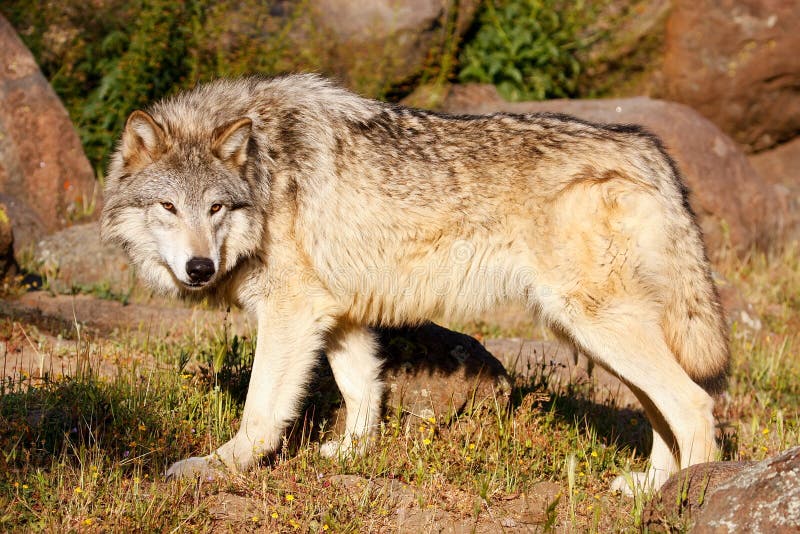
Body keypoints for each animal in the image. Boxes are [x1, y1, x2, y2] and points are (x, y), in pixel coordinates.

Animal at [100, 74, 728, 494]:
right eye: (167, 207)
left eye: (215, 208)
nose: (199, 268)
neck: (265, 171)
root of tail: (645, 146)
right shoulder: (338, 316)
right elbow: (362, 392)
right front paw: (351, 457)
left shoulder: (289, 314)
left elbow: (260, 410)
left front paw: (217, 467)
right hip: (594, 334)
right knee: (663, 412)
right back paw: (648, 488)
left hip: (595, 325)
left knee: (694, 402)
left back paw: (681, 498)